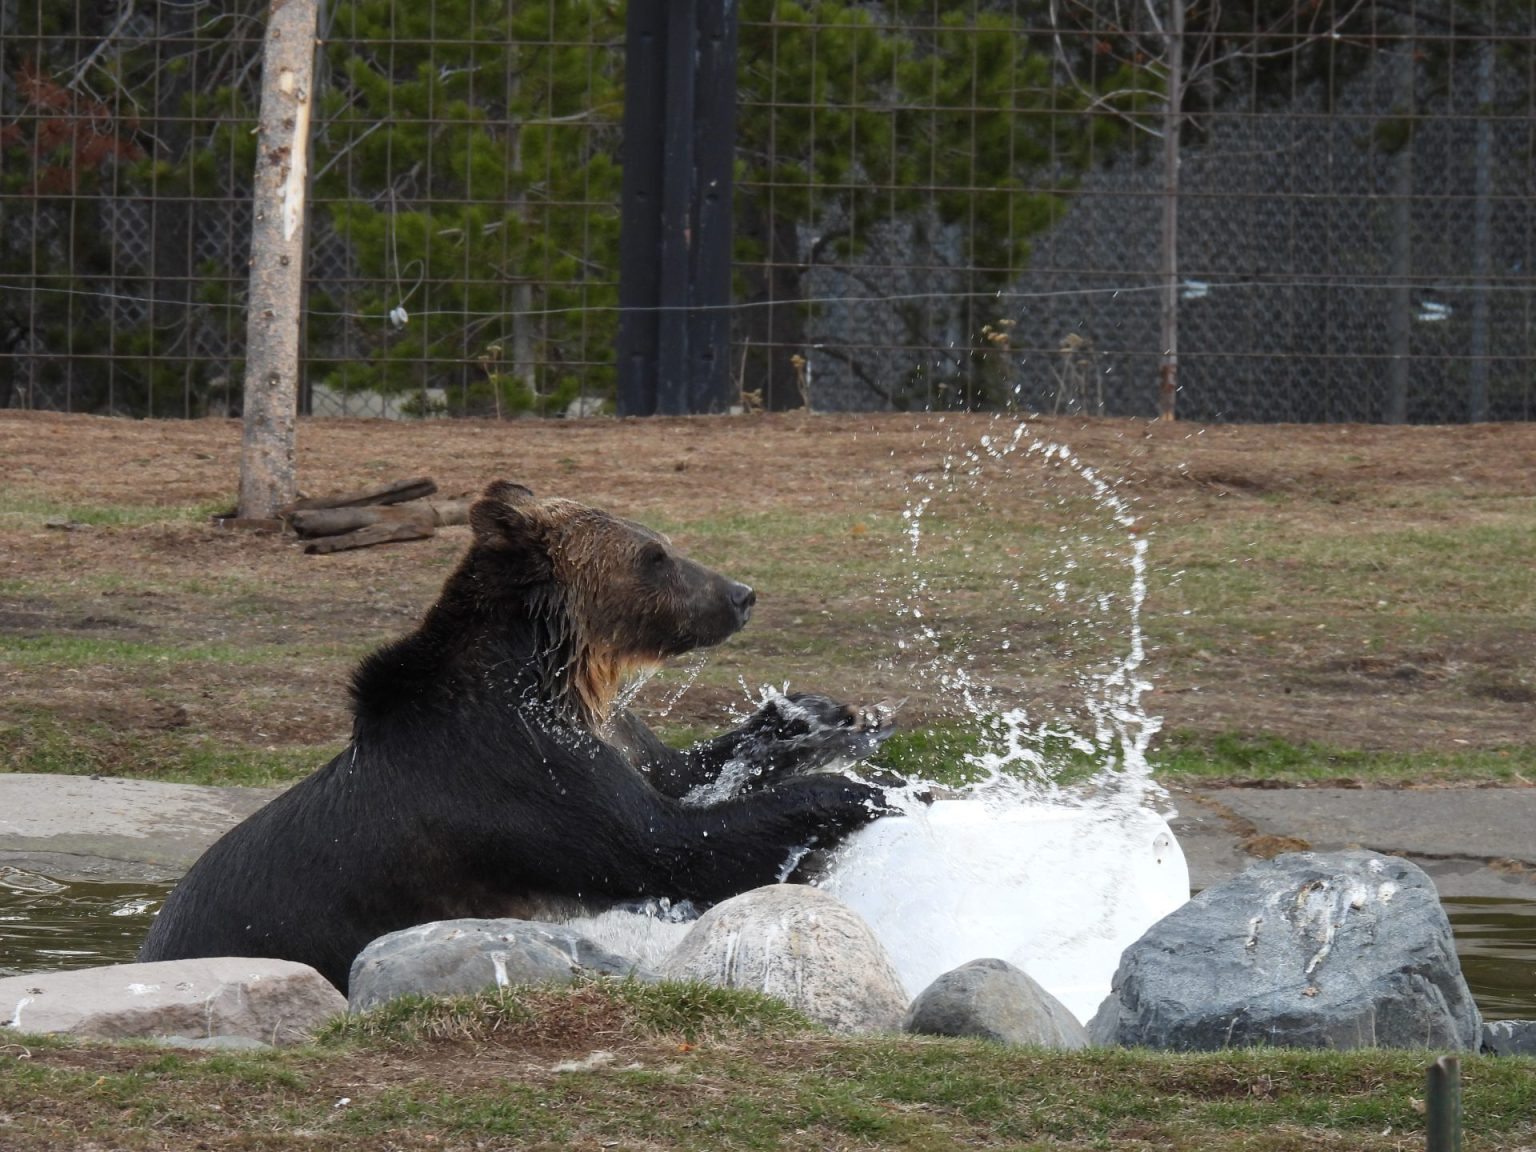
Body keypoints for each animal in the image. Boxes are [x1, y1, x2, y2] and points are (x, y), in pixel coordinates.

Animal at [138, 480, 894, 993]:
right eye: (653, 554)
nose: (740, 595)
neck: (561, 678)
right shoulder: (519, 774)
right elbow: (670, 843)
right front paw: (867, 789)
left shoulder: (605, 736)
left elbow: (683, 774)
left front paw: (817, 717)